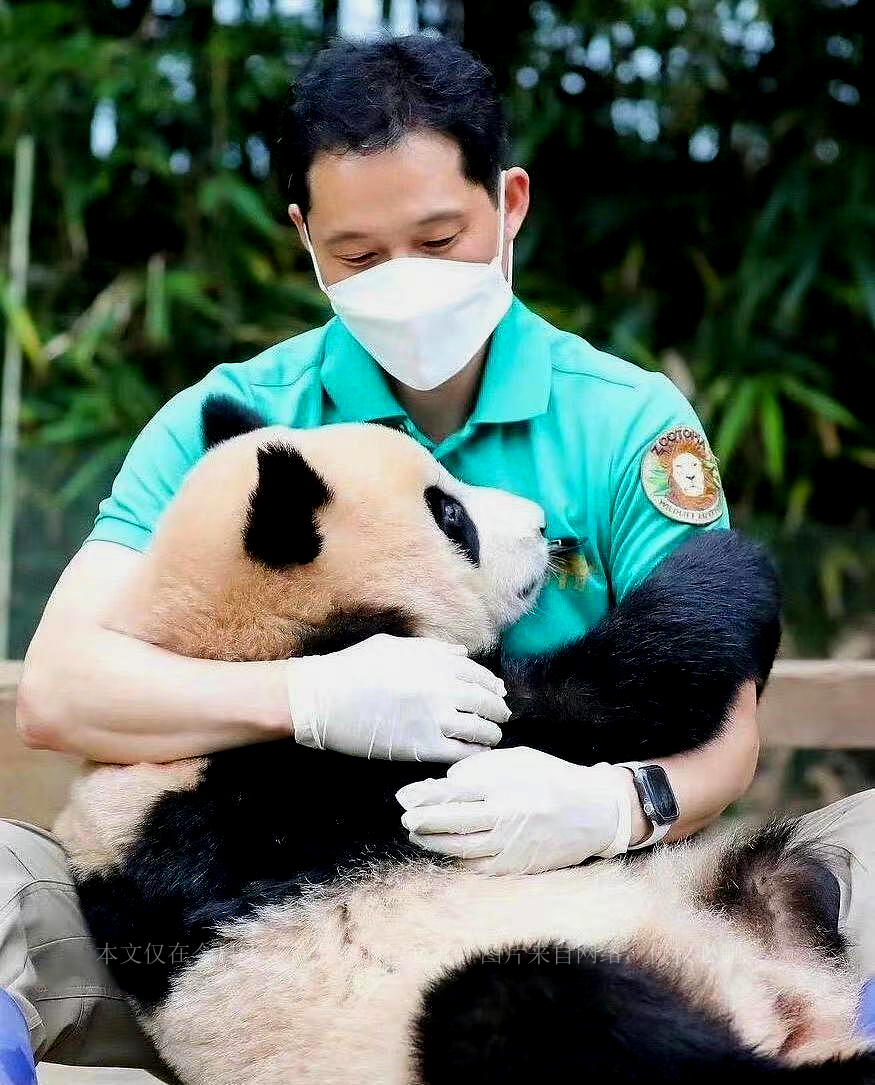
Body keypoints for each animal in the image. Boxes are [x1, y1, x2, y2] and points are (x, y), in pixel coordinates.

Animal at [52, 395, 873, 1085]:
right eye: (451, 515)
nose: (544, 525)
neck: (216, 646)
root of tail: (778, 1005)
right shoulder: (309, 774)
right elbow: (598, 701)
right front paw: (731, 560)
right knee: (527, 1010)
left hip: (702, 888)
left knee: (795, 873)